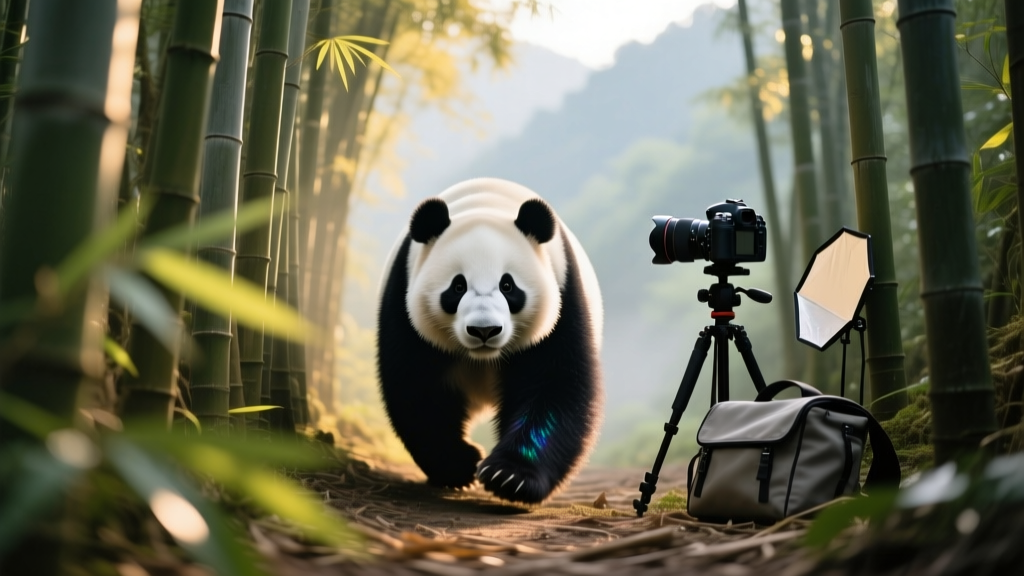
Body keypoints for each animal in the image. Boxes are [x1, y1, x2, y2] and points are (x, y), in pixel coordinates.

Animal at [376, 177, 604, 504]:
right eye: (457, 286)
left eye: (508, 285)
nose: (484, 330)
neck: (486, 204)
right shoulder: (403, 299)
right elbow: (417, 386)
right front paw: (458, 465)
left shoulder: (564, 298)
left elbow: (557, 384)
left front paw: (509, 477)